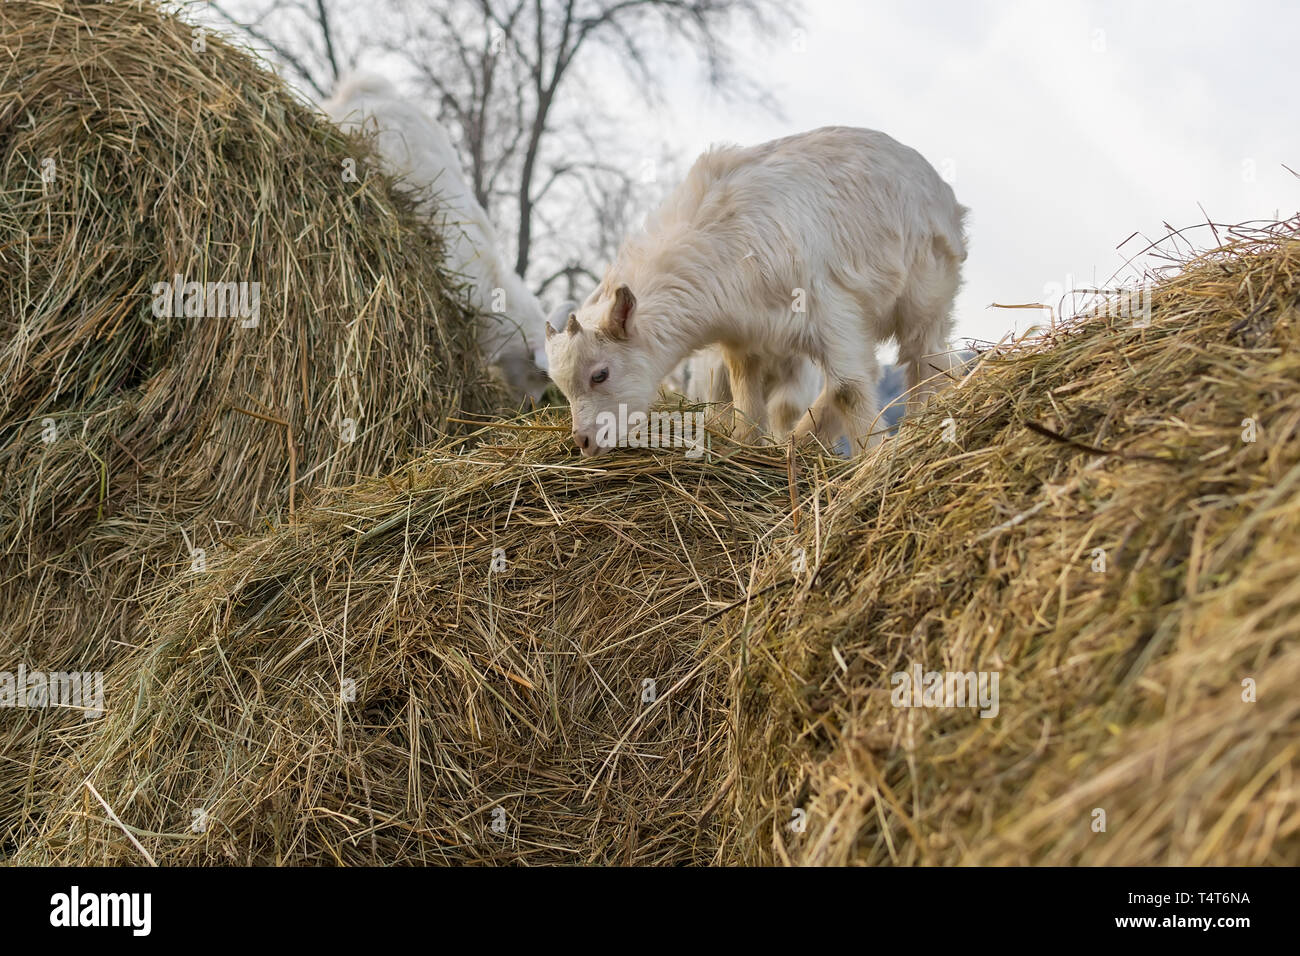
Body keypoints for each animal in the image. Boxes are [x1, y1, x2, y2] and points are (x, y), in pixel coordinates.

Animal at [545, 126, 967, 456]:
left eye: (600, 374)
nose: (583, 441)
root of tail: (942, 190)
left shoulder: (830, 311)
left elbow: (848, 389)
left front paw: (871, 459)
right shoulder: (745, 340)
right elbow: (746, 396)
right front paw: (749, 444)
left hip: (926, 293)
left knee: (924, 359)